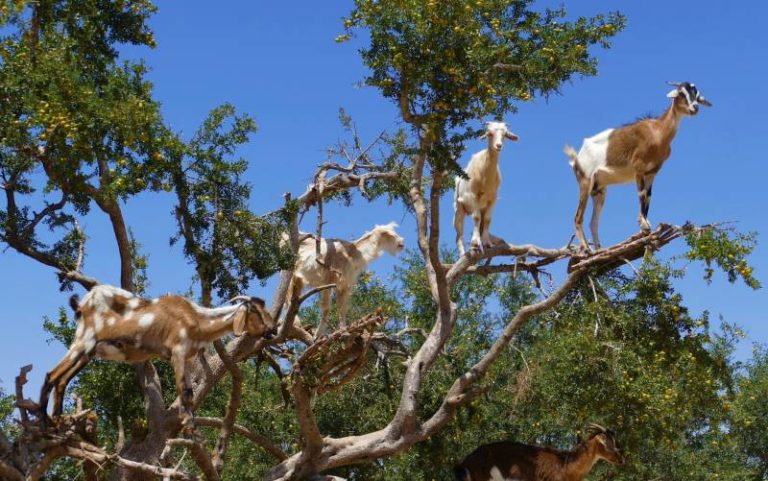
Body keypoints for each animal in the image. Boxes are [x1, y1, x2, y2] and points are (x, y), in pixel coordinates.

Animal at [40, 285, 275, 425]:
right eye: (255, 311)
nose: (272, 330)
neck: (197, 318)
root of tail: (84, 303)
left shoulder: (188, 358)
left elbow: (189, 392)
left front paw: (191, 423)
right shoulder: (177, 352)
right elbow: (184, 391)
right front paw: (189, 426)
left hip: (89, 350)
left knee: (62, 379)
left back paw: (58, 419)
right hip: (84, 340)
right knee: (52, 375)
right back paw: (44, 420)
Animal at [454, 121, 518, 256]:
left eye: (505, 134)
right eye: (489, 133)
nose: (498, 145)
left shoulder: (492, 199)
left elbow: (487, 220)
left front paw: (486, 242)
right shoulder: (472, 196)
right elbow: (476, 217)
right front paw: (475, 242)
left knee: (481, 224)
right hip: (459, 207)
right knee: (459, 233)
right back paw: (462, 253)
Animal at [565, 81, 712, 250]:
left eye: (696, 95)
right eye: (681, 93)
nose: (695, 108)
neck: (657, 132)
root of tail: (576, 158)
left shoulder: (652, 172)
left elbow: (648, 196)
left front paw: (646, 226)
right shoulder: (638, 169)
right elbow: (641, 195)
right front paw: (644, 226)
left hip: (599, 189)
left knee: (593, 222)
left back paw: (599, 250)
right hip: (585, 181)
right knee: (577, 217)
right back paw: (587, 250)